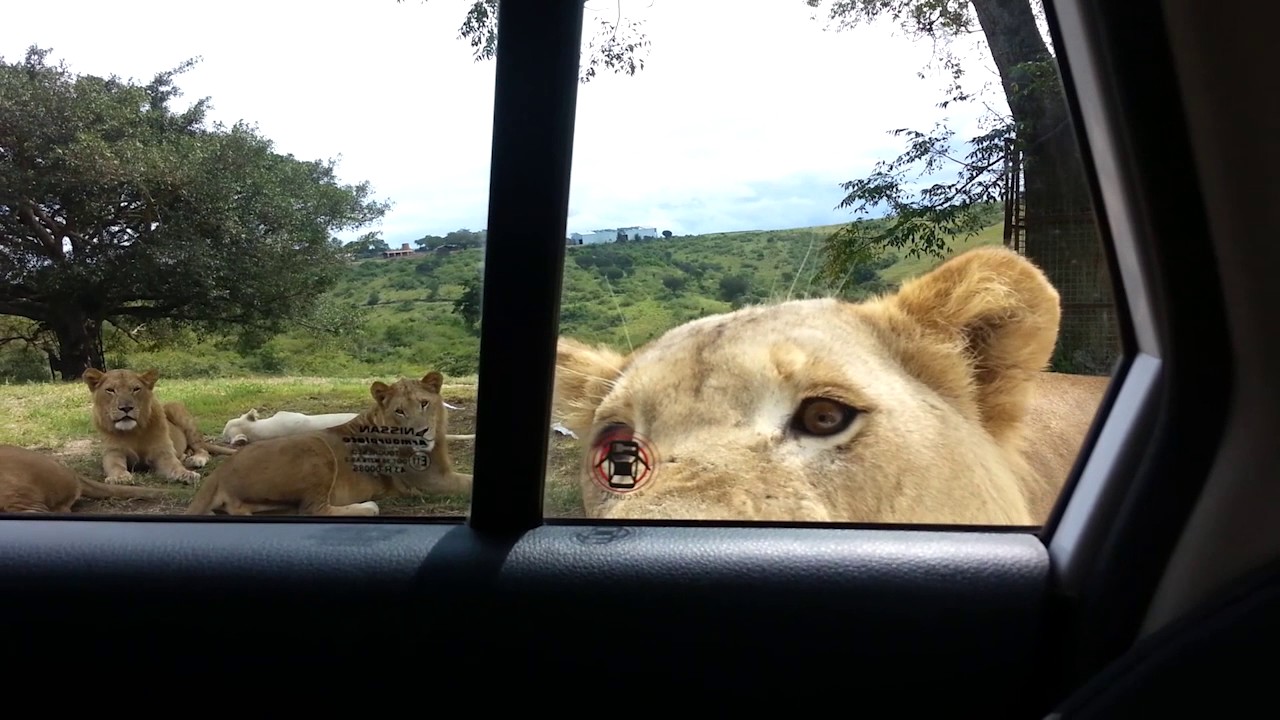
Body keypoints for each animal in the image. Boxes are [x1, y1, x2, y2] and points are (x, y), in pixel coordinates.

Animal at [84, 367, 238, 486]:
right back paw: (185, 455)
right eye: (110, 390)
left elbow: (175, 466)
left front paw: (187, 474)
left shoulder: (162, 453)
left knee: (202, 448)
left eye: (136, 389)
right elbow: (115, 466)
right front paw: (119, 478)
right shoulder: (113, 452)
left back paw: (195, 459)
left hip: (175, 408)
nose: (126, 408)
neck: (133, 432)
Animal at [185, 371, 473, 516]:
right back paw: (368, 506)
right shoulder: (431, 481)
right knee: (312, 510)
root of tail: (219, 472)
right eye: (399, 411)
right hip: (317, 450)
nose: (420, 434)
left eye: (424, 403)